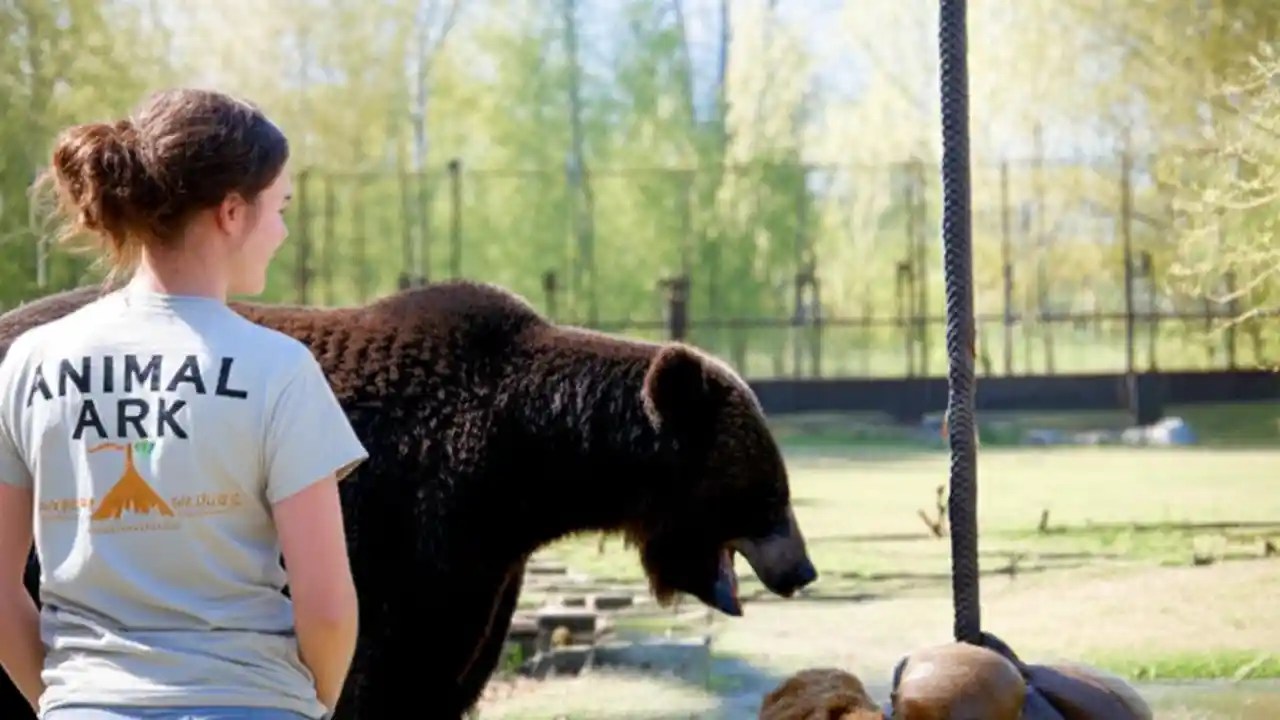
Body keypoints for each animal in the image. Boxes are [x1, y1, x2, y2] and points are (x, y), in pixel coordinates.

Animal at [0, 279, 818, 720]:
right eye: (768, 490)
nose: (802, 569)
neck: (528, 466)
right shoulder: (405, 528)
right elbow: (378, 668)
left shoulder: (482, 567)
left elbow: (444, 672)